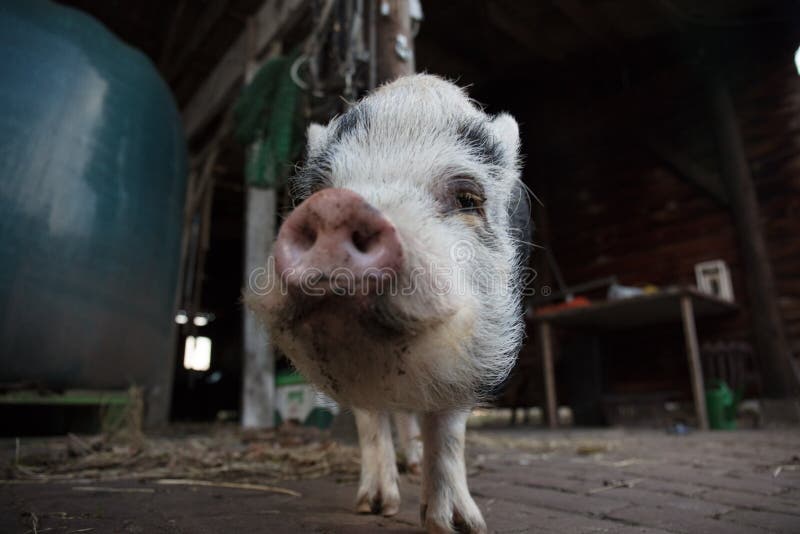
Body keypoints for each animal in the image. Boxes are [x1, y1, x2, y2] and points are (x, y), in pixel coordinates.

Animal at [248, 74, 530, 533]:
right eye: (319, 192)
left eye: (467, 198)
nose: (336, 207)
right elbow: (370, 417)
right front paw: (375, 507)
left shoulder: (482, 347)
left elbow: (449, 432)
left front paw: (457, 525)